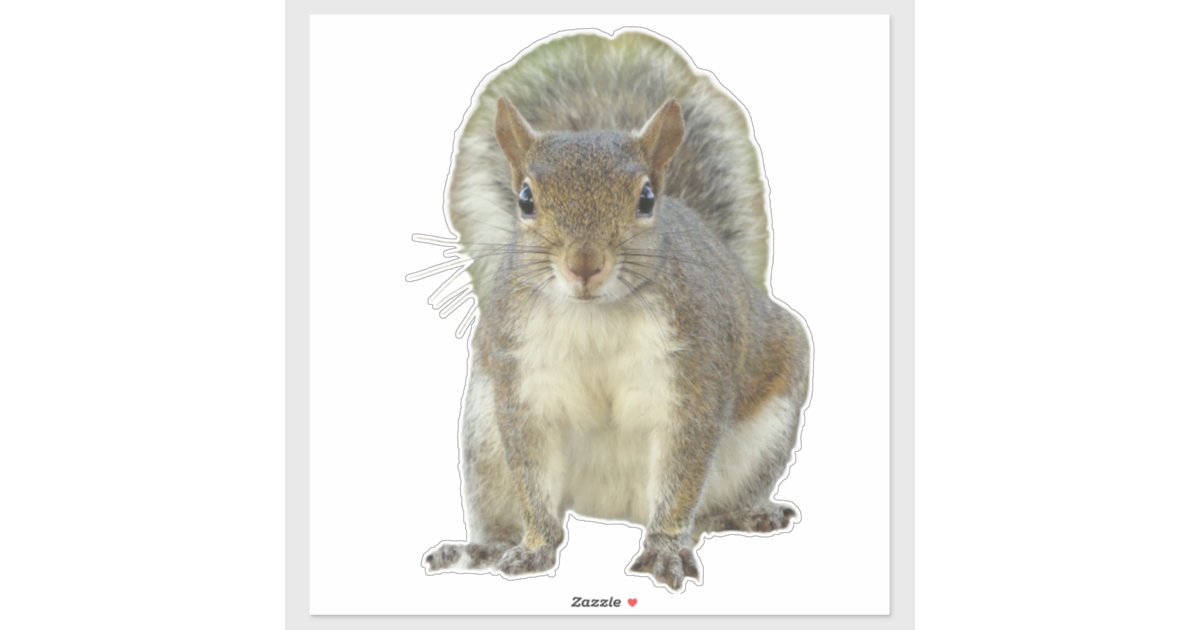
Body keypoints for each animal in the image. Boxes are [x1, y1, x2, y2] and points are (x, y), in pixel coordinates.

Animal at [421, 29, 812, 592]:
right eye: (525, 199)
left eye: (646, 198)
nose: (585, 264)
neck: (594, 315)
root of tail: (611, 507)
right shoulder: (522, 382)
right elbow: (533, 472)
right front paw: (534, 548)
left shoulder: (693, 374)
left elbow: (682, 470)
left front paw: (665, 550)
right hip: (484, 441)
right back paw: (484, 548)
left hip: (763, 432)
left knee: (707, 508)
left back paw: (742, 514)